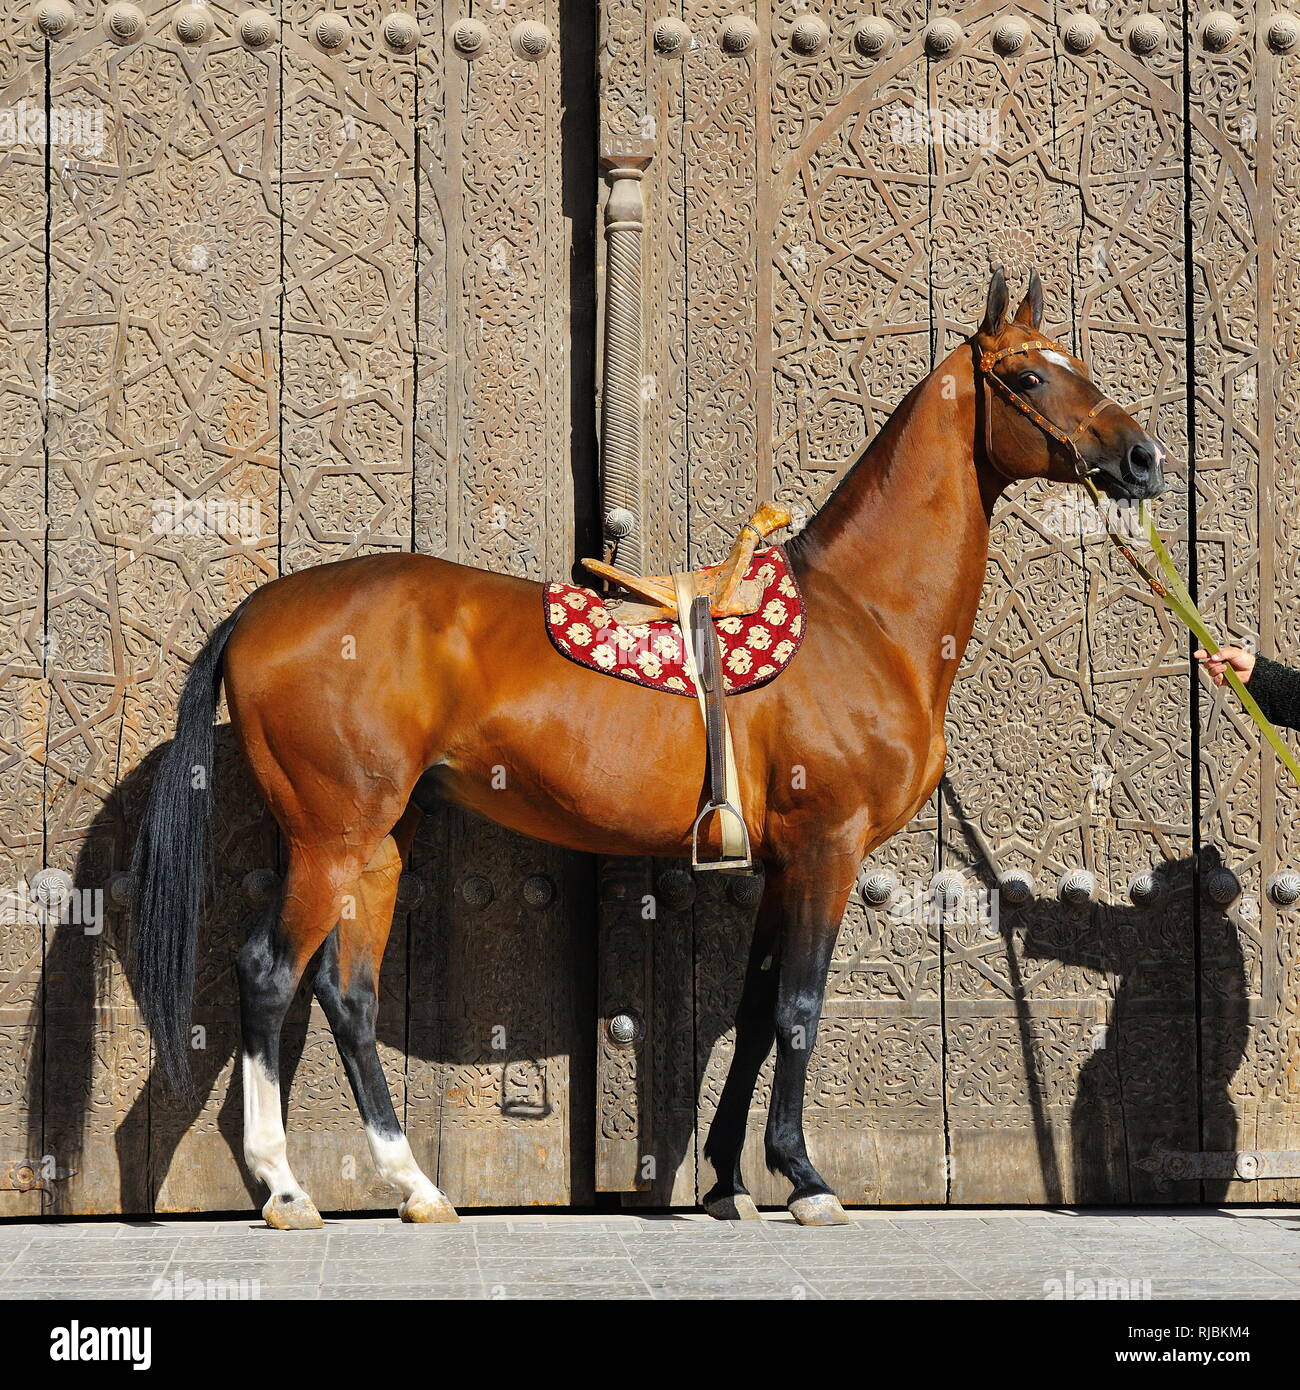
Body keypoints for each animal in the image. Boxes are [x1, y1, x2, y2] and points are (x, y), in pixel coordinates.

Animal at [129, 268, 1164, 1229]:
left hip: (377, 845)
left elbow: (753, 1014)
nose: (1144, 458)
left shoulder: (779, 866)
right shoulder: (828, 850)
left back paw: (415, 1187)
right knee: (269, 977)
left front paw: (727, 1181)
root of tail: (262, 608)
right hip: (331, 838)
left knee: (348, 995)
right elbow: (799, 1010)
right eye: (1027, 375)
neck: (860, 620)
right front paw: (804, 1178)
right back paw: (285, 1190)